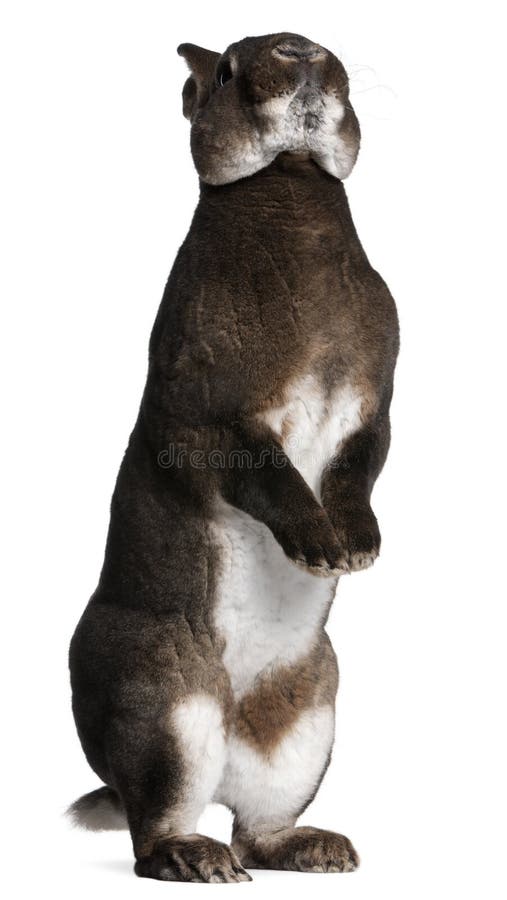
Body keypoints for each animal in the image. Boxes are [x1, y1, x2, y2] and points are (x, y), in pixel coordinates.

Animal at [68, 32, 399, 882]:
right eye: (223, 71)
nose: (301, 50)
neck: (289, 187)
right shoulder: (211, 423)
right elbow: (271, 477)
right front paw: (320, 550)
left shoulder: (369, 415)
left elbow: (353, 472)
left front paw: (357, 547)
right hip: (164, 703)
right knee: (155, 822)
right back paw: (196, 859)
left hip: (311, 714)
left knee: (259, 825)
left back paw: (317, 848)